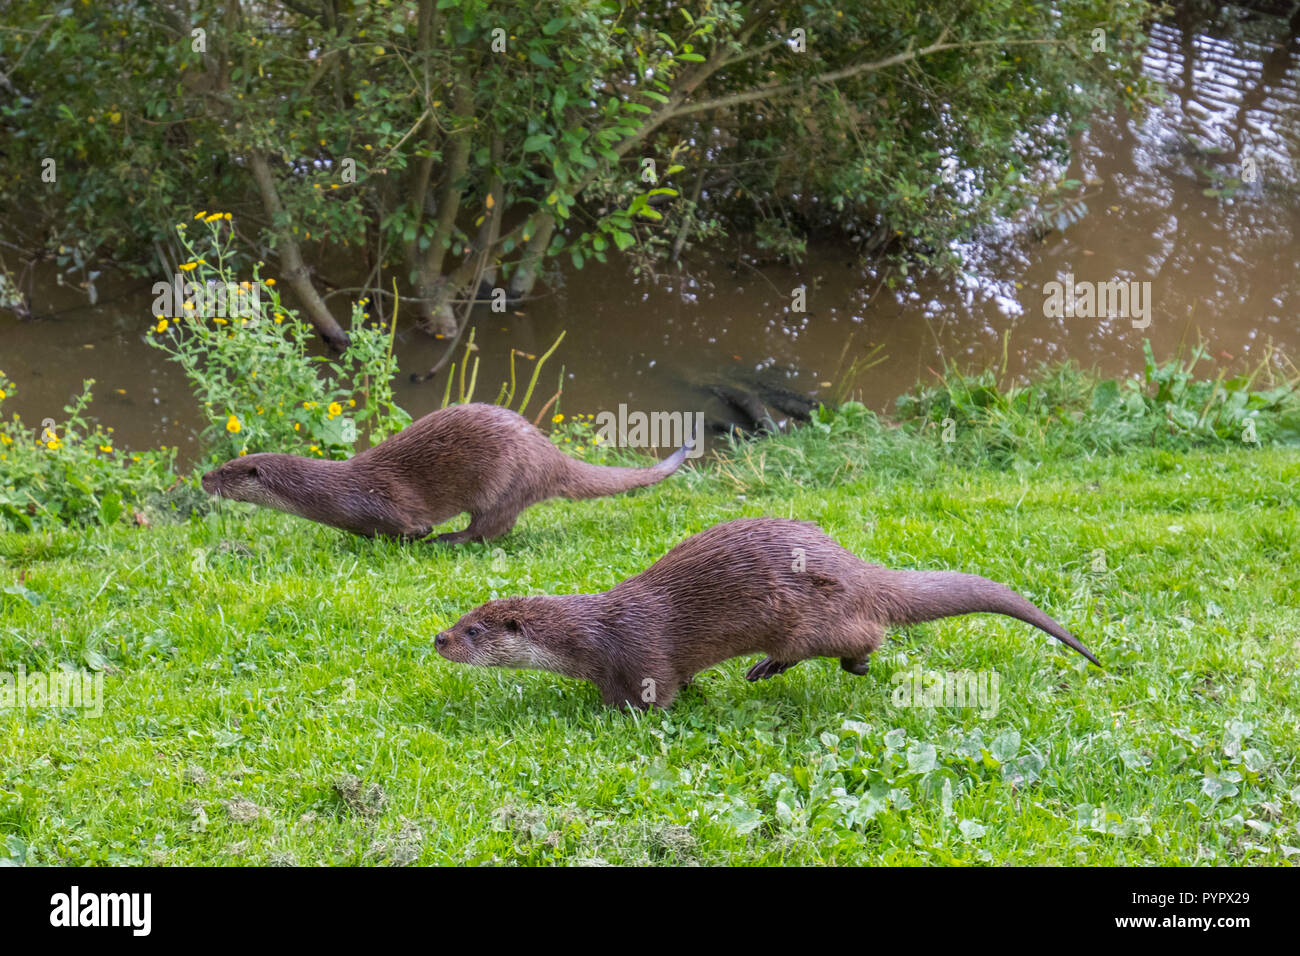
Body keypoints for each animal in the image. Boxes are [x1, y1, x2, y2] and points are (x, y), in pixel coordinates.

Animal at [201, 403, 692, 543]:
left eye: (225, 470)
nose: (203, 478)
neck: (332, 491)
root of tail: (551, 455)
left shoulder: (385, 505)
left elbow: (410, 528)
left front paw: (424, 536)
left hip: (505, 483)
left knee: (491, 528)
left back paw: (451, 538)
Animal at [435, 517, 1101, 708]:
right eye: (460, 618)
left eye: (473, 630)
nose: (439, 639)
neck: (592, 637)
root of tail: (855, 566)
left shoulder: (638, 657)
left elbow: (652, 696)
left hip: (814, 617)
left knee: (862, 637)